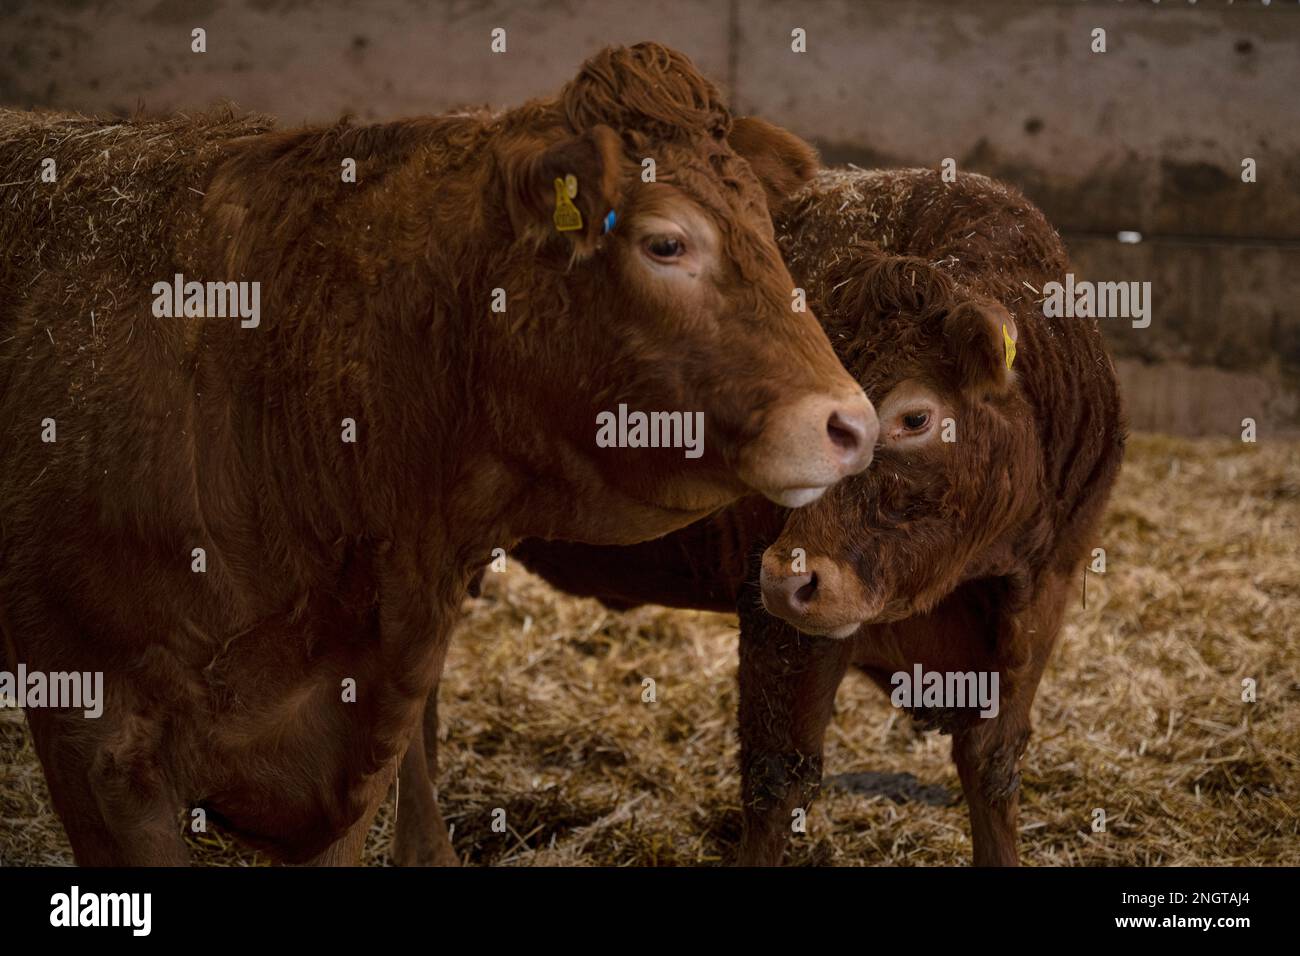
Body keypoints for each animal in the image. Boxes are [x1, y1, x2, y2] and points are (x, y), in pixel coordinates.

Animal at [480, 166, 1127, 866]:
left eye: (915, 417)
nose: (792, 578)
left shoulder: (1041, 599)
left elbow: (992, 764)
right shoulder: (777, 617)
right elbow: (777, 782)